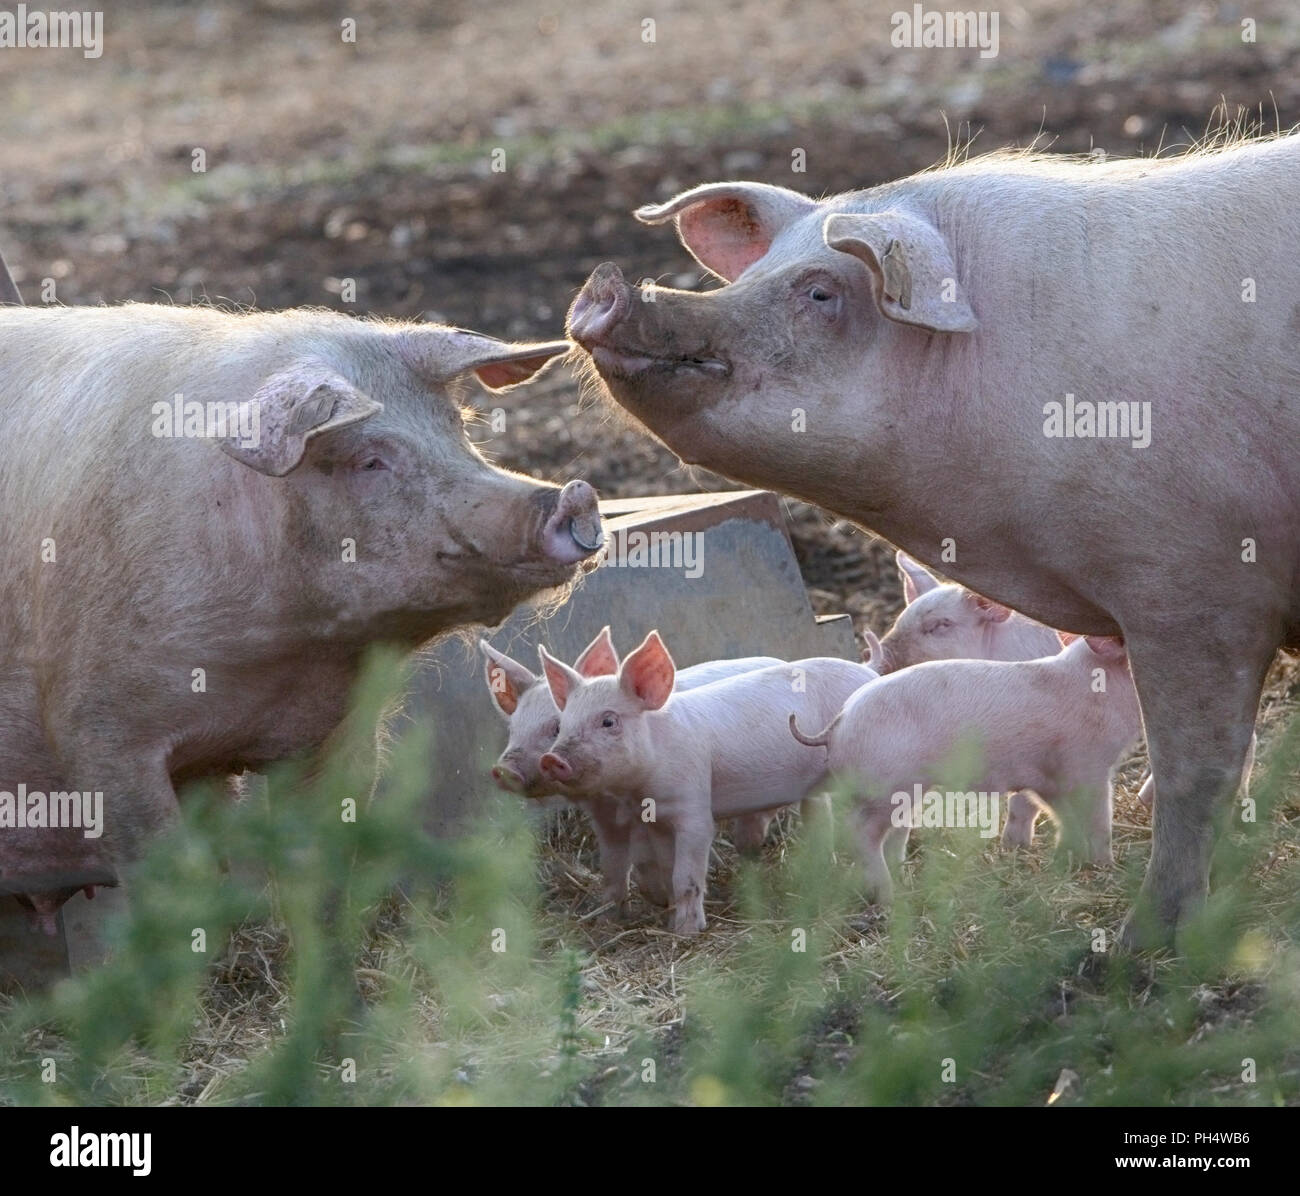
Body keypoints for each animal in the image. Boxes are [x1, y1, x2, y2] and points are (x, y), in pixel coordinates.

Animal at [0, 301, 602, 929]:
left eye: (458, 428)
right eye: (369, 459)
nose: (574, 495)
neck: (287, 654)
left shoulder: (336, 732)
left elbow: (319, 878)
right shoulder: (98, 734)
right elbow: (169, 893)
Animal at [480, 626, 785, 910]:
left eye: (556, 727)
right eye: (513, 728)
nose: (504, 769)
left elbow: (643, 858)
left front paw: (659, 898)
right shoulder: (602, 817)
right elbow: (612, 864)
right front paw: (610, 911)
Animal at [537, 631, 877, 933]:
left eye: (609, 721)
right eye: (562, 726)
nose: (551, 759)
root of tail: (869, 672)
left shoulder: (693, 810)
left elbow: (685, 875)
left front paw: (687, 933)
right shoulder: (657, 822)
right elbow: (666, 869)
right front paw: (671, 923)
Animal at [791, 635, 1141, 903]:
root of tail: (838, 723)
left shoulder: (1049, 778)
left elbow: (1060, 816)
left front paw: (1066, 857)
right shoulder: (1088, 768)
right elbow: (1098, 820)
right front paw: (1106, 866)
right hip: (884, 786)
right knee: (859, 831)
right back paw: (888, 896)